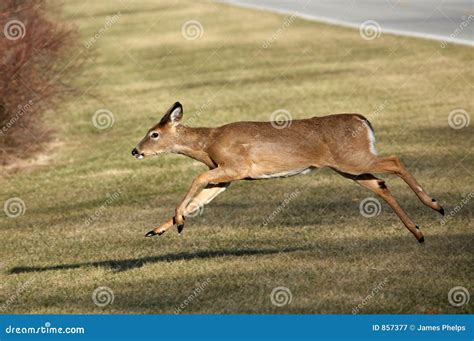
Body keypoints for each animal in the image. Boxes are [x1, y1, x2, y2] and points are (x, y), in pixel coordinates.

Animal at [131, 101, 444, 242]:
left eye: (154, 134)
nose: (135, 151)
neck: (209, 143)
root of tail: (363, 120)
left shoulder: (236, 166)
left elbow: (197, 178)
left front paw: (177, 221)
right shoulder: (227, 176)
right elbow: (199, 201)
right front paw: (159, 228)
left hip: (353, 159)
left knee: (394, 160)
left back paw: (436, 205)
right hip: (348, 167)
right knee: (380, 184)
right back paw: (418, 232)